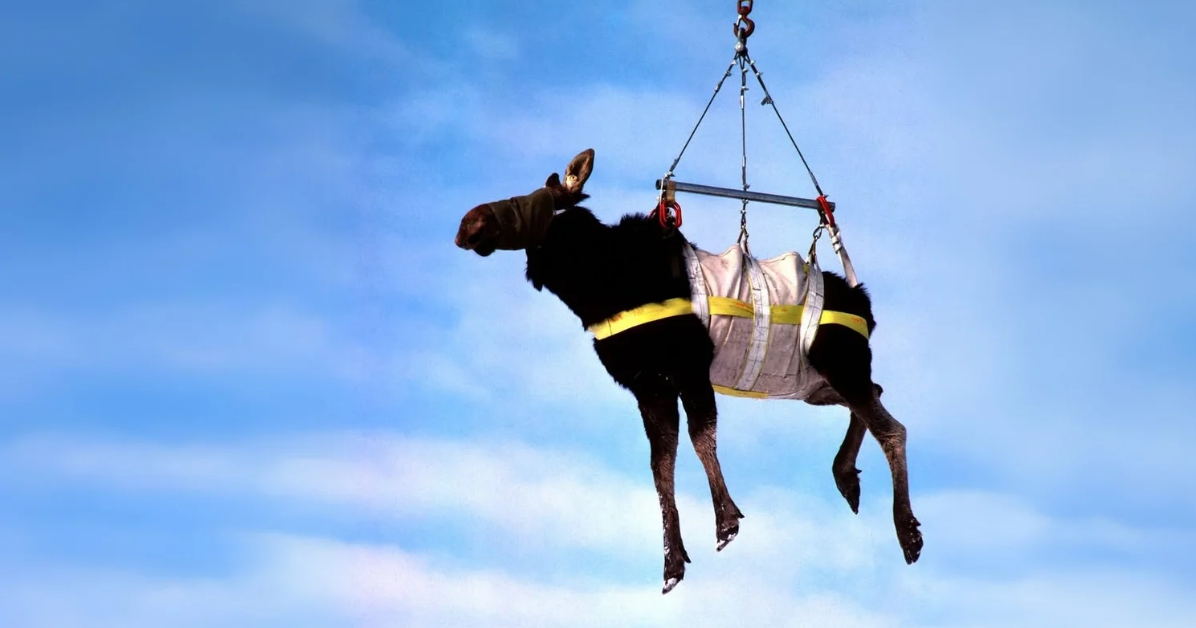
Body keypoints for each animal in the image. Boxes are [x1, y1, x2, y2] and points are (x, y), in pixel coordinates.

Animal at [454, 148, 922, 593]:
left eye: (532, 200)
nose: (468, 224)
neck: (597, 291)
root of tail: (866, 304)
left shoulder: (688, 367)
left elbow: (700, 438)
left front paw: (725, 521)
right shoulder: (648, 385)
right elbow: (661, 465)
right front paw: (672, 563)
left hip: (837, 365)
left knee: (891, 427)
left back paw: (907, 530)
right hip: (812, 383)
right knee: (877, 395)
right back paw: (846, 475)